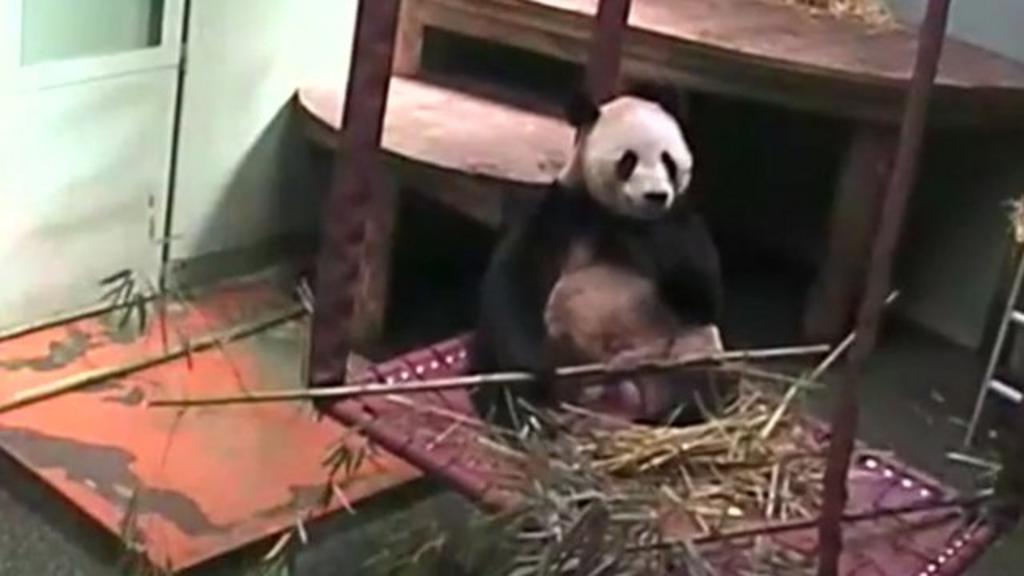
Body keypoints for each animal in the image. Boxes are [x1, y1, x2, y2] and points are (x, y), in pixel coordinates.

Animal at [470, 82, 731, 426]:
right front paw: (535, 368)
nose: (656, 196)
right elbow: (516, 277)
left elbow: (703, 295)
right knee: (497, 375)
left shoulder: (684, 220)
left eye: (668, 160)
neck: (623, 220)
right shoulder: (565, 212)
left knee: (700, 374)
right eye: (628, 161)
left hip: (677, 351)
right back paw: (535, 413)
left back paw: (674, 412)